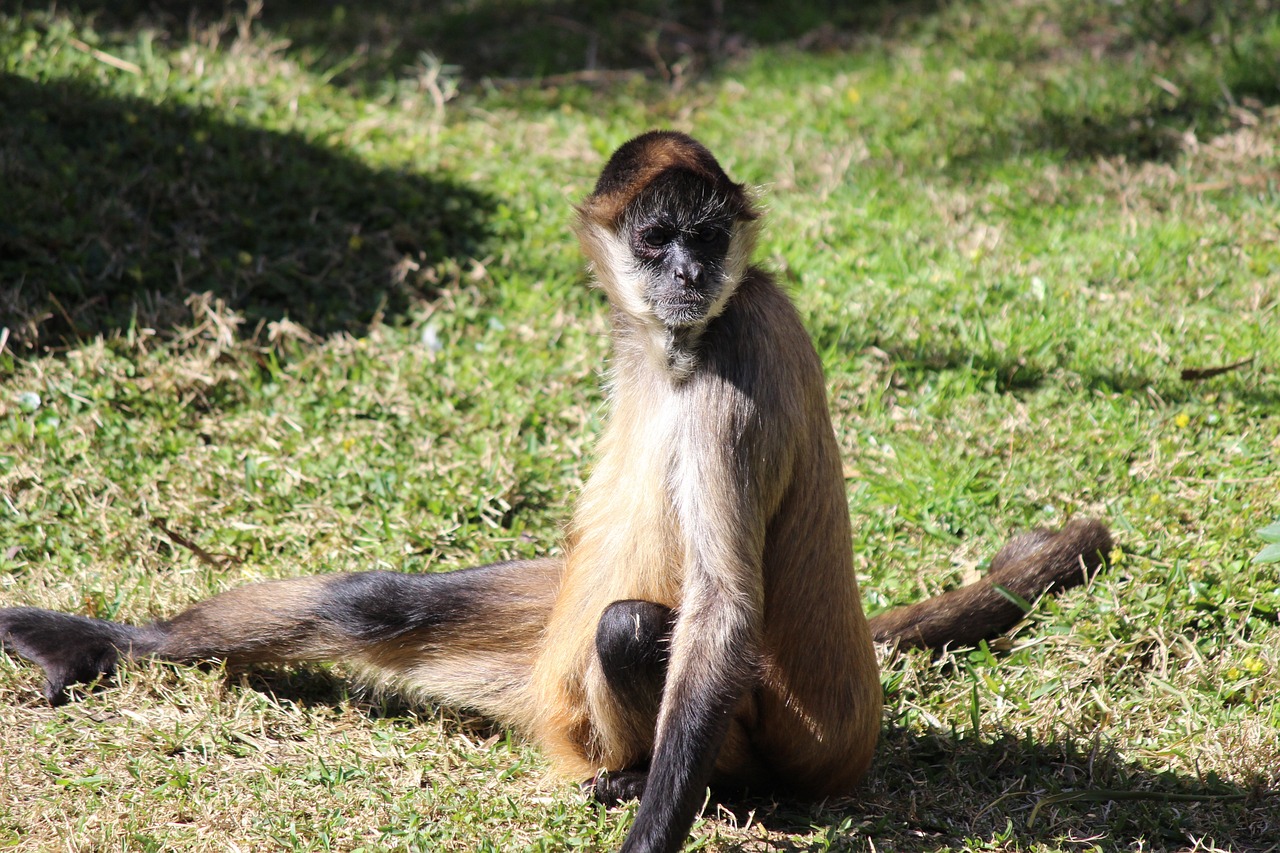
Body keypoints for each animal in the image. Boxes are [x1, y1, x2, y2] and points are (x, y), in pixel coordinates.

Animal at [0, 131, 1112, 853]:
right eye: (658, 237)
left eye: (707, 240)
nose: (687, 274)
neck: (683, 342)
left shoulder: (740, 369)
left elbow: (722, 605)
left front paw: (652, 834)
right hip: (541, 662)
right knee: (379, 603)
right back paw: (94, 645)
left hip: (776, 742)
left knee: (627, 623)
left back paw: (665, 786)